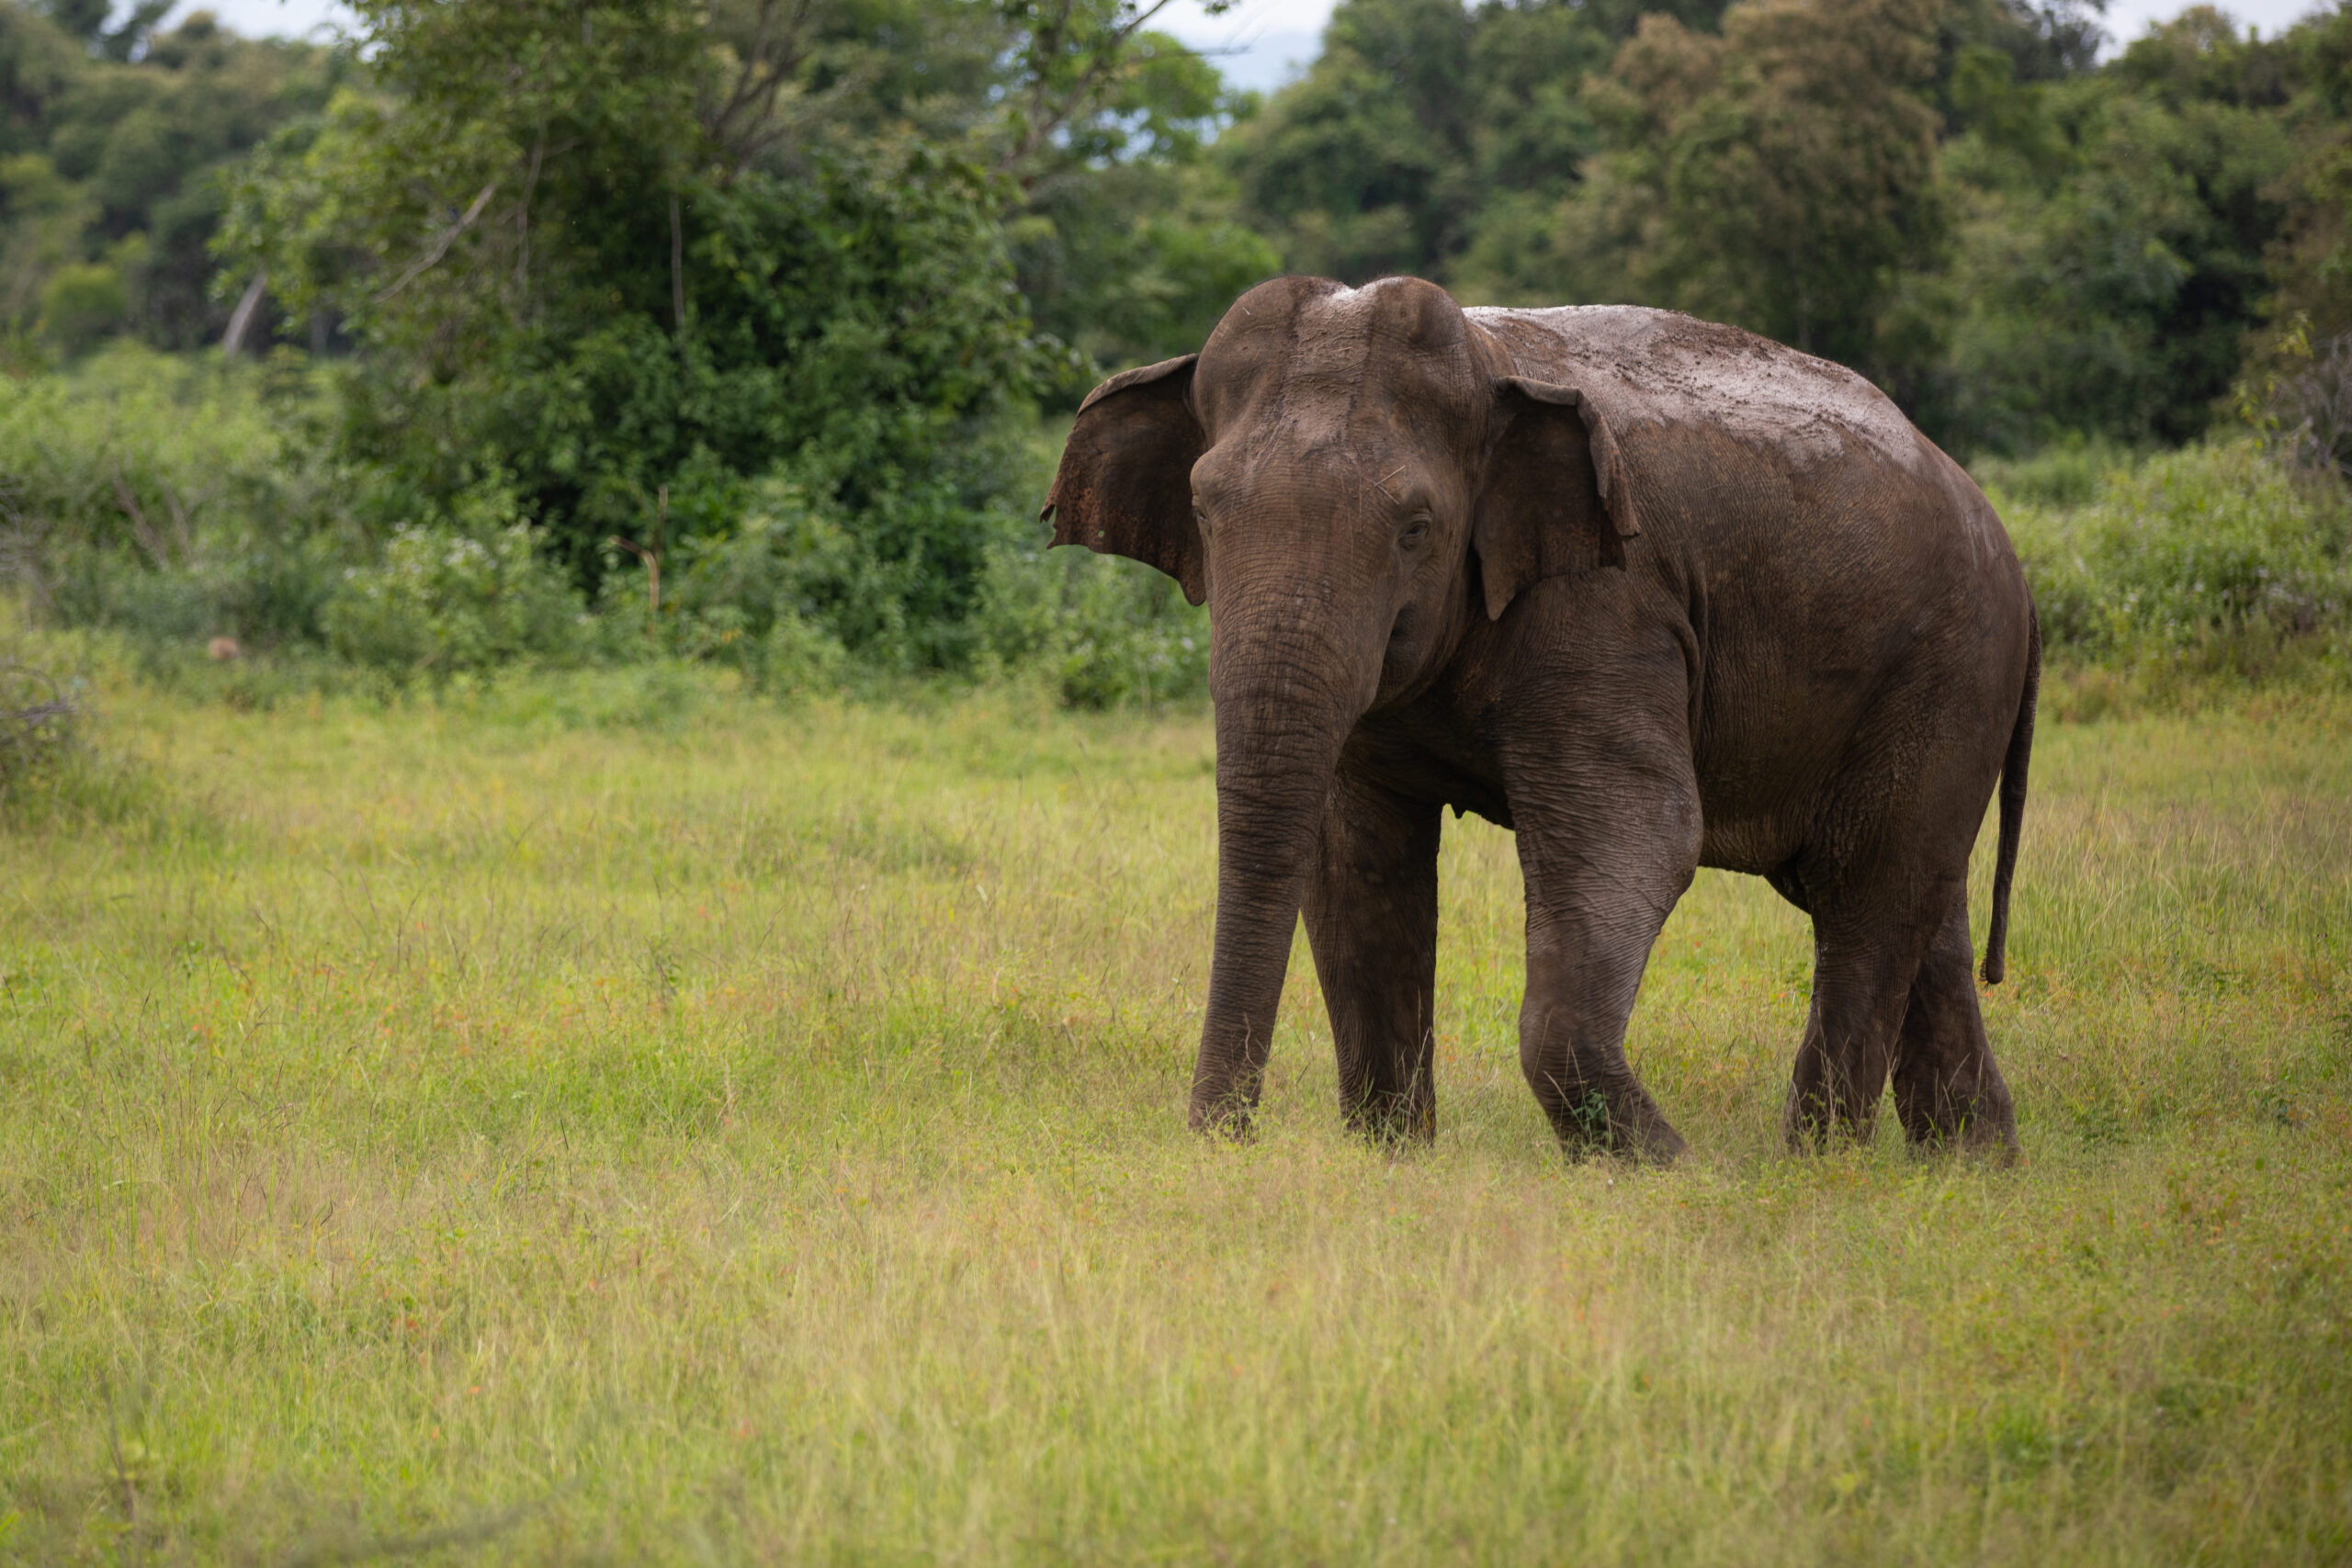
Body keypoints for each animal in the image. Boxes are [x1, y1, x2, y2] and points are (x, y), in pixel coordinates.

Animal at [1042, 275, 2039, 1159]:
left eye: (1414, 528)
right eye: (1203, 511)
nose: (1225, 1139)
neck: (1491, 365)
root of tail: (2009, 550)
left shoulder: (1610, 603)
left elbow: (1637, 834)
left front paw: (1667, 1171)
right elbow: (1355, 855)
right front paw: (1392, 1161)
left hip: (1949, 669)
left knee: (1866, 889)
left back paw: (1813, 1172)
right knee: (1916, 898)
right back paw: (1968, 1167)